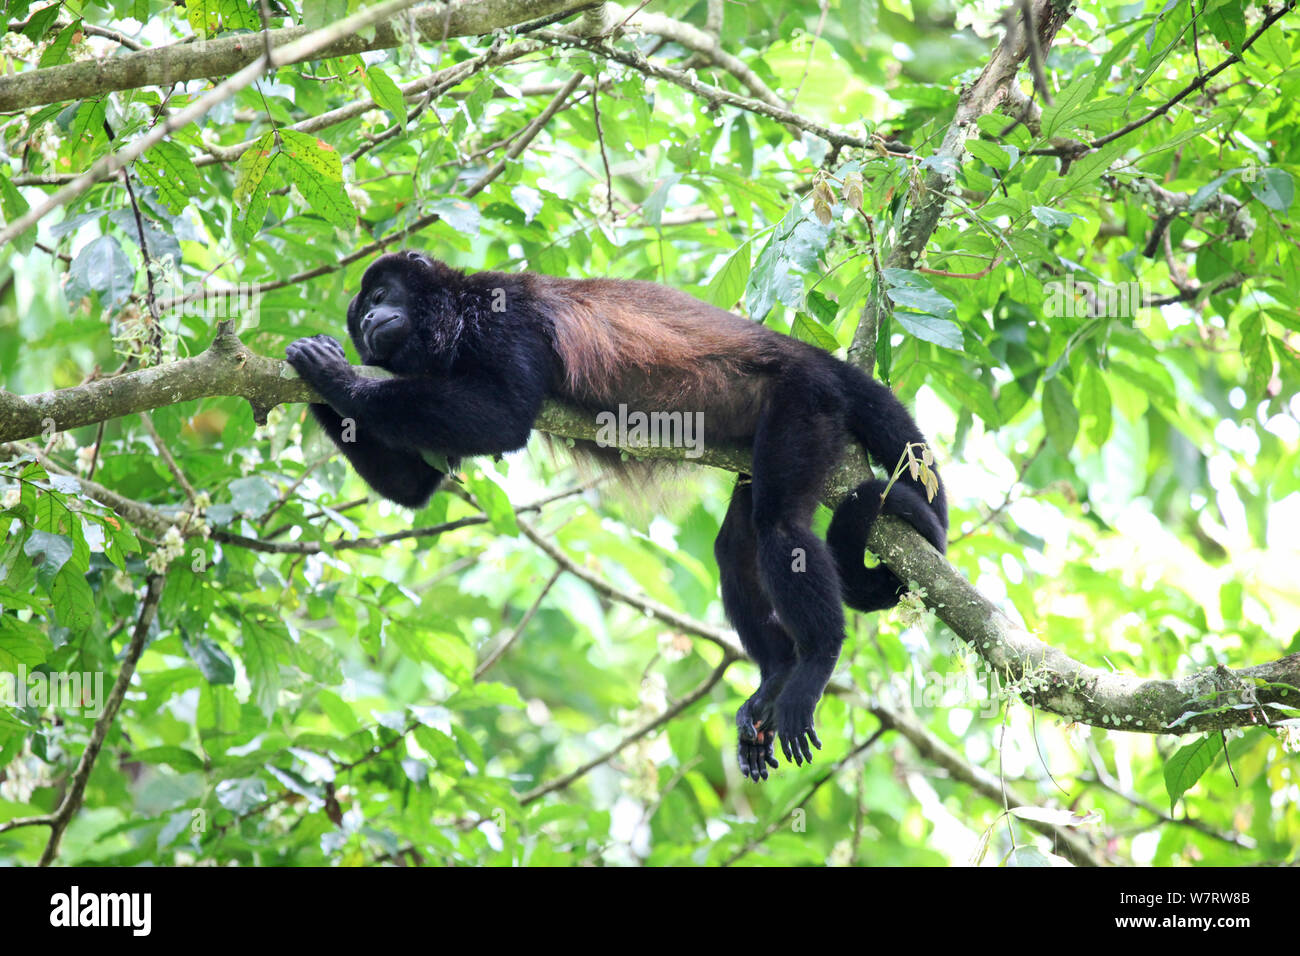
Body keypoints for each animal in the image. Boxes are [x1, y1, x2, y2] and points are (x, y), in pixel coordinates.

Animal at [285, 251, 948, 781]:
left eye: (379, 298)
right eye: (362, 316)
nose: (366, 324)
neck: (450, 319)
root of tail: (813, 356)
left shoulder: (504, 318)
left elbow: (504, 416)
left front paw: (333, 375)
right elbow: (416, 486)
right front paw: (314, 370)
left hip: (805, 403)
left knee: (780, 527)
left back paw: (813, 663)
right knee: (737, 544)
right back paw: (774, 677)